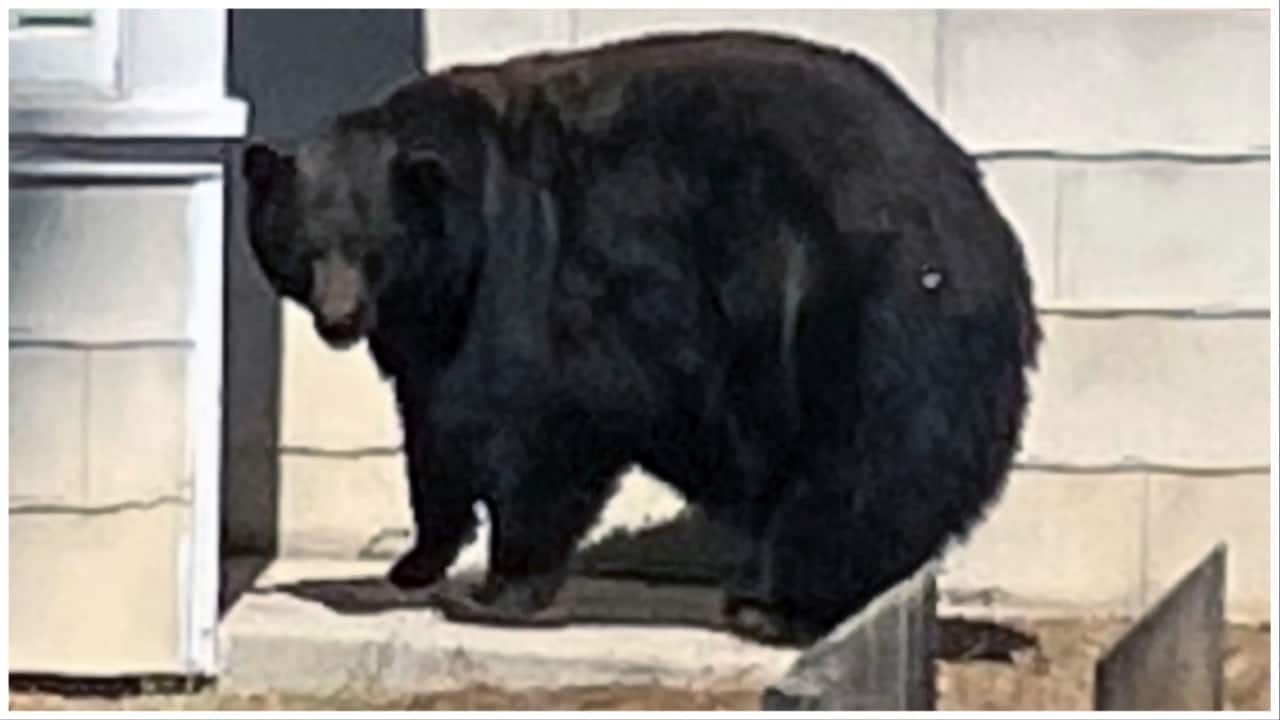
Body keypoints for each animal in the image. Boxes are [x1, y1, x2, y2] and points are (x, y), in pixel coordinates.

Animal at [243, 30, 1041, 646]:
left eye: (373, 247)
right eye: (304, 246)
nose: (340, 319)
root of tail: (985, 221)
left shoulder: (540, 275)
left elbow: (538, 425)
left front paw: (495, 590)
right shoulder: (431, 327)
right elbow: (435, 429)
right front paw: (415, 562)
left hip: (864, 310)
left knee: (864, 463)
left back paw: (776, 605)